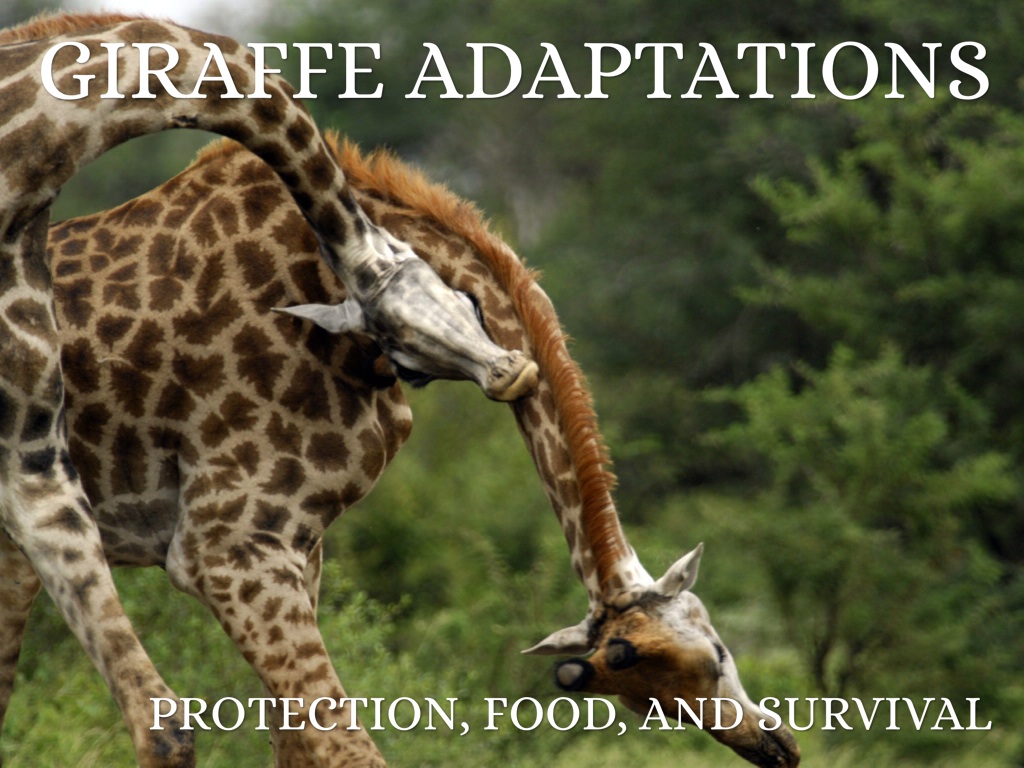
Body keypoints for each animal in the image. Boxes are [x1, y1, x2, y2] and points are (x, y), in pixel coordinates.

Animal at [0, 12, 535, 768]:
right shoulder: (224, 541)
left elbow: (188, 728)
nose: (516, 370)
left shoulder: (33, 457)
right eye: (408, 360)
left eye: (467, 303)